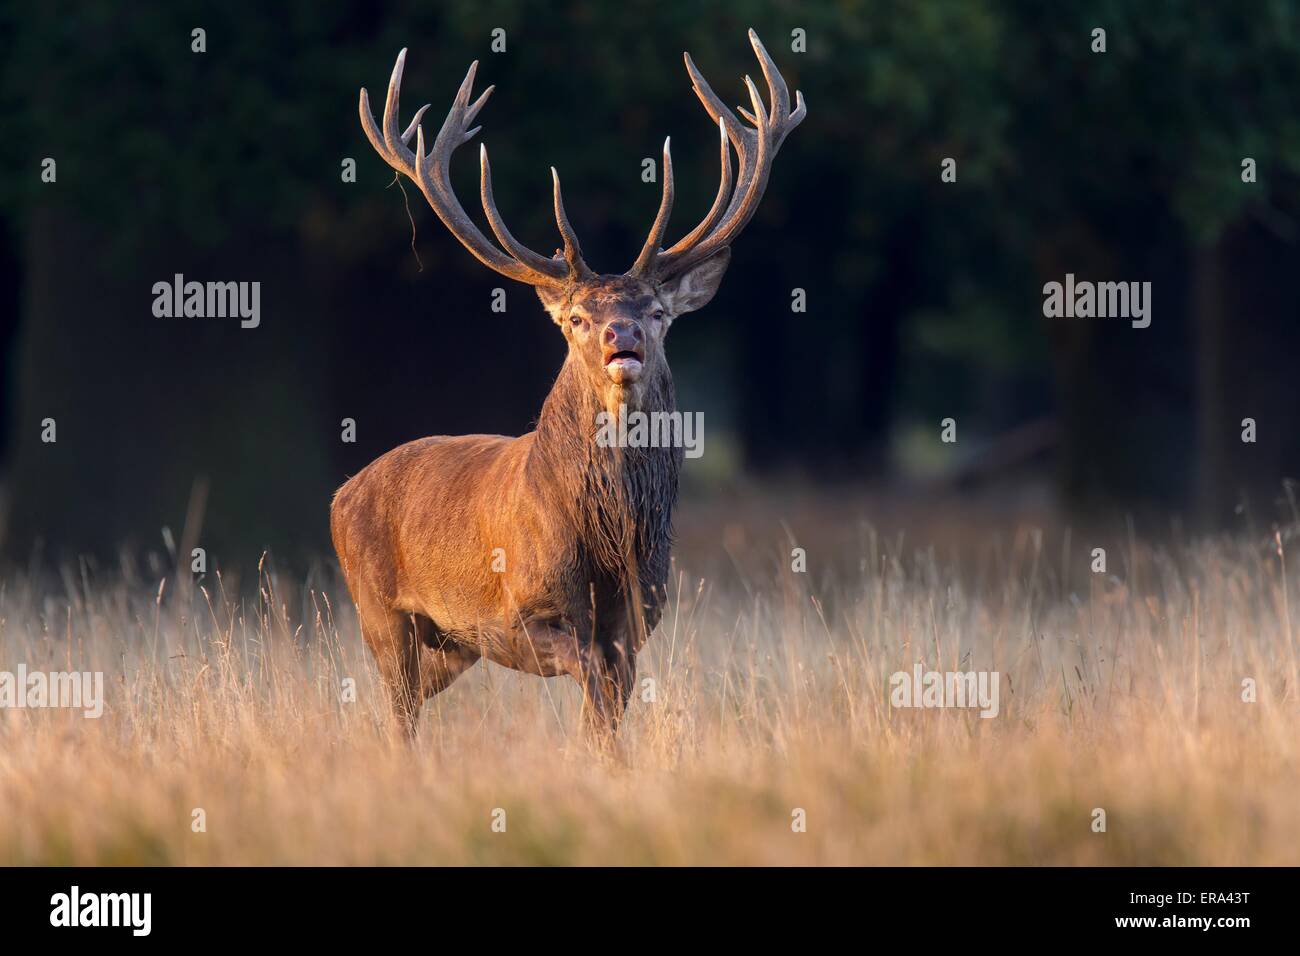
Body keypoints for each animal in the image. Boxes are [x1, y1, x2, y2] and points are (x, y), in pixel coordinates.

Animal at [331, 29, 804, 740]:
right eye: (577, 317)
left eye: (657, 312)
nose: (620, 337)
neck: (607, 543)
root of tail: (340, 494)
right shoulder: (518, 613)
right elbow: (590, 679)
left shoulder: (639, 617)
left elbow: (606, 710)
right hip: (381, 612)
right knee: (399, 713)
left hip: (448, 646)